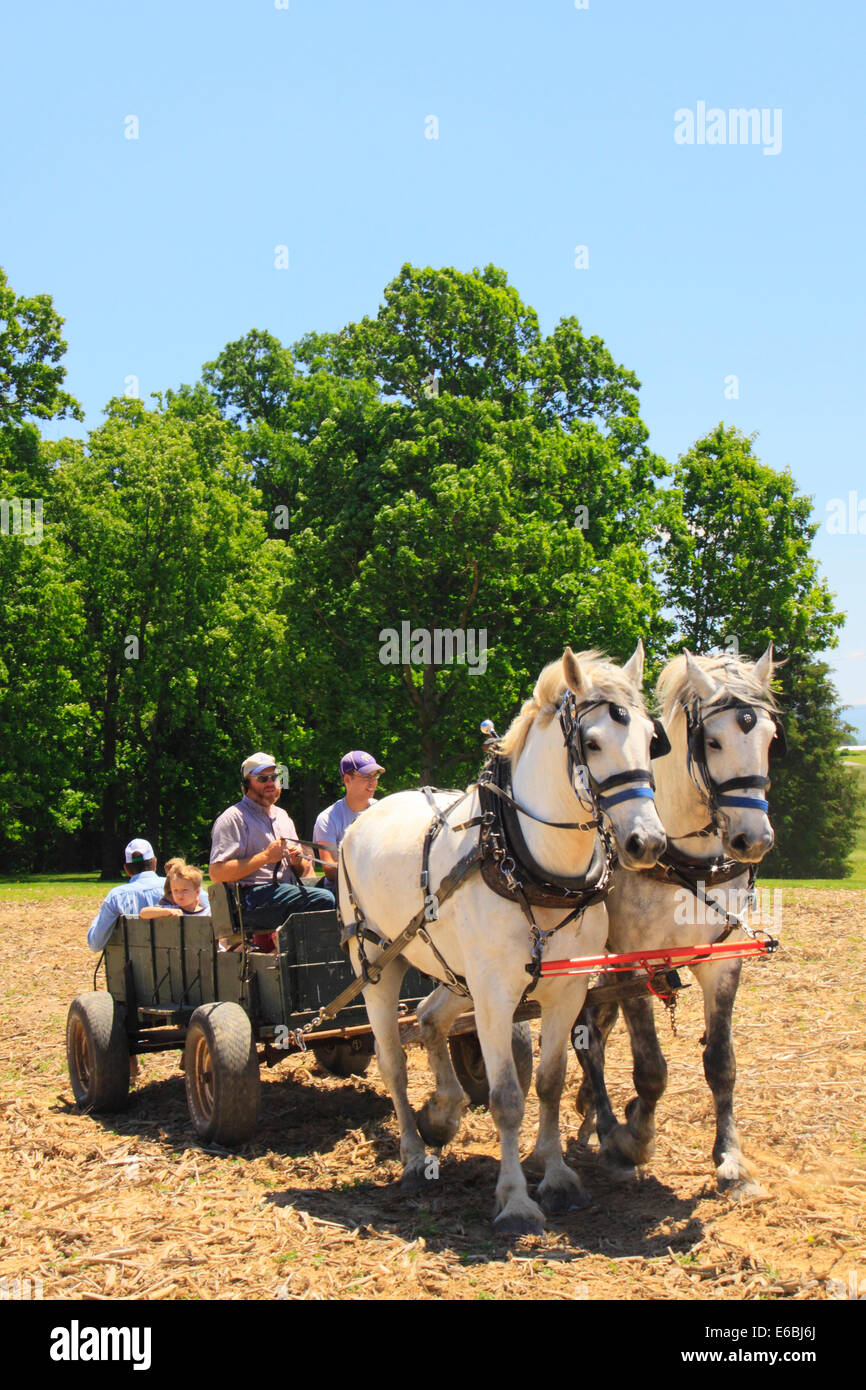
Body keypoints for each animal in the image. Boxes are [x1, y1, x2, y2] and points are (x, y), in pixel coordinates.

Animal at [338, 643, 669, 1234]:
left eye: (652, 740)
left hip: (454, 972)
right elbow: (507, 1097)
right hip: (376, 963)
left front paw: (558, 1178)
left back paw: (442, 1113)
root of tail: (362, 819)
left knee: (428, 1018)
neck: (529, 861)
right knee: (392, 1058)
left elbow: (550, 1082)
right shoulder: (495, 995)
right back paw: (412, 1155)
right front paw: (515, 1199)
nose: (647, 842)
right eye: (592, 742)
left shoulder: (567, 989)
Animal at [574, 645, 785, 1198]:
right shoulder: (637, 963)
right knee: (585, 1035)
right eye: (713, 740)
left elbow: (721, 1063)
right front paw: (633, 1139)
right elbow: (650, 1067)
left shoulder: (722, 963)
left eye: (769, 738)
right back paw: (607, 1125)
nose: (754, 839)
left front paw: (730, 1159)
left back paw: (591, 1111)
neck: (684, 862)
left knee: (596, 1027)